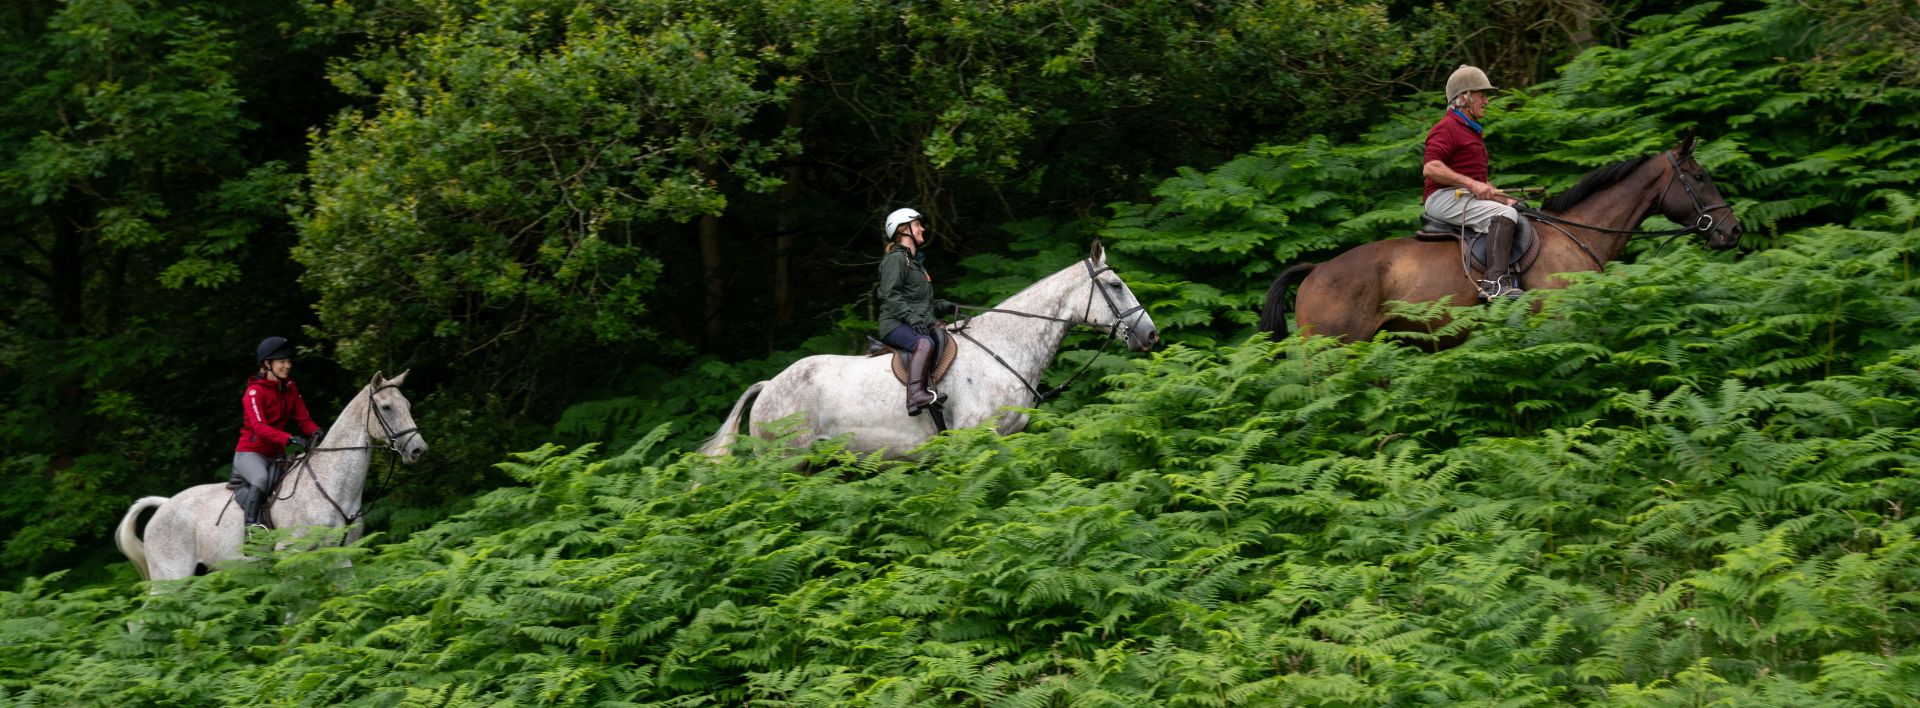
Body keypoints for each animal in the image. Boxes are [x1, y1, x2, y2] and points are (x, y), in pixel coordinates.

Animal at [114, 371, 429, 581]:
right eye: (386, 407)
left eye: (408, 406)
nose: (418, 450)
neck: (332, 485)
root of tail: (164, 505)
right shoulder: (291, 555)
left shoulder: (340, 555)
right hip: (171, 576)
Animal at [701, 240, 1159, 457]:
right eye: (1115, 284)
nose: (1151, 335)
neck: (1002, 350)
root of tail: (768, 385)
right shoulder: (973, 439)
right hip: (786, 460)